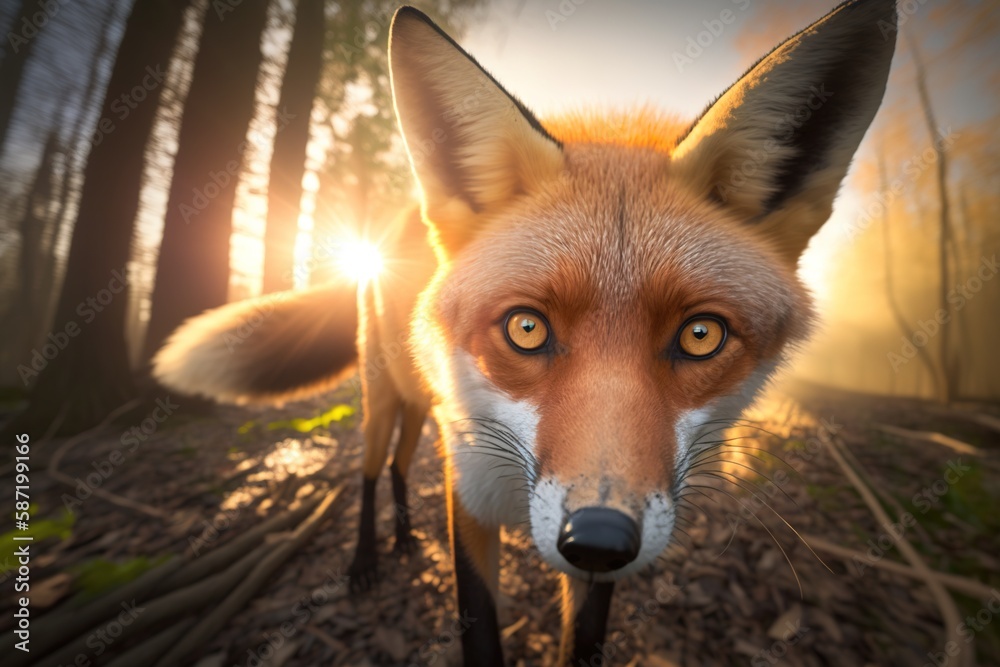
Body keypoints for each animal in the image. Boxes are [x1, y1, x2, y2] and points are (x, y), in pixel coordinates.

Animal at [153, 1, 897, 663]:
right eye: (527, 327)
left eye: (701, 336)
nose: (598, 537)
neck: (514, 482)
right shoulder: (469, 493)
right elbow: (479, 631)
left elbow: (582, 642)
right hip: (382, 398)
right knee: (369, 470)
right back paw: (367, 557)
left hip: (420, 409)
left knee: (398, 464)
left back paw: (403, 537)